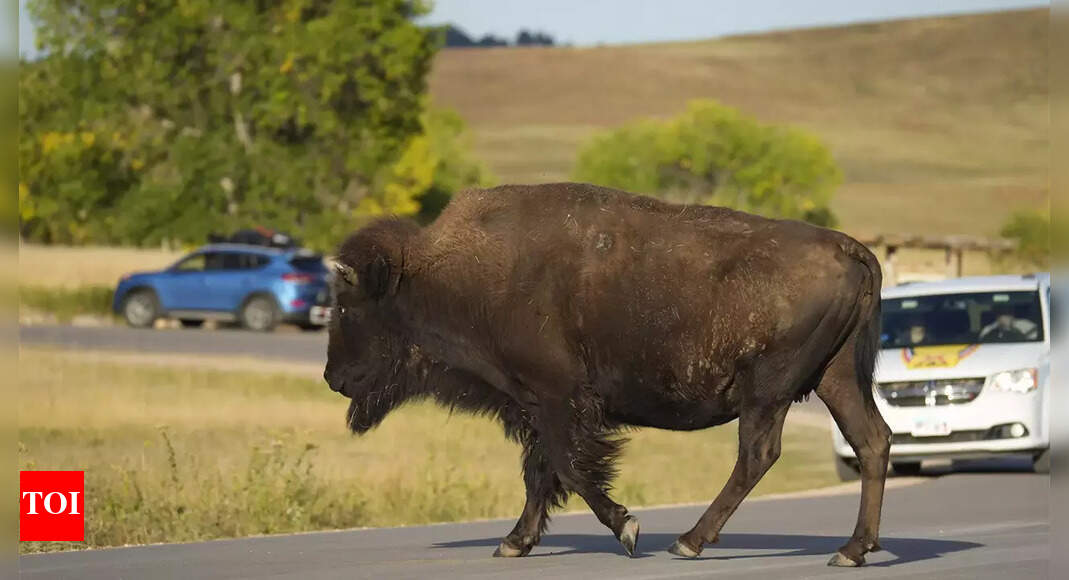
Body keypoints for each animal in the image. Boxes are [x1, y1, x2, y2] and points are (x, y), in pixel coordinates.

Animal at [324, 183, 890, 567]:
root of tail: (849, 247)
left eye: (348, 306)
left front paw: (627, 529)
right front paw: (514, 542)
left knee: (759, 454)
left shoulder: (558, 399)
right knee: (872, 441)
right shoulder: (535, 406)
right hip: (834, 379)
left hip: (769, 390)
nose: (333, 377)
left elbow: (570, 468)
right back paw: (852, 549)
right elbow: (541, 473)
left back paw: (689, 542)